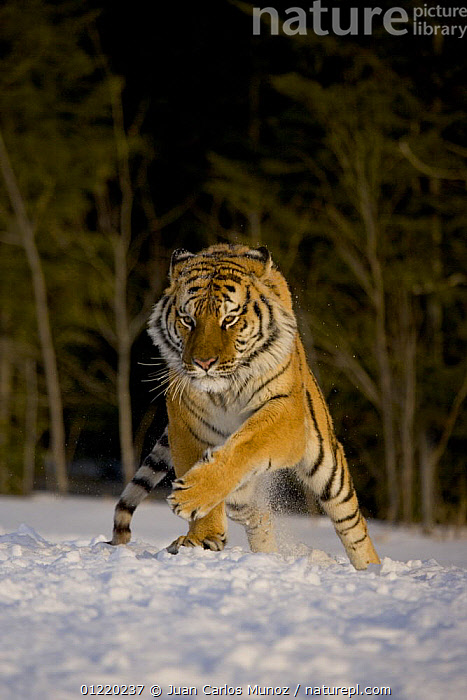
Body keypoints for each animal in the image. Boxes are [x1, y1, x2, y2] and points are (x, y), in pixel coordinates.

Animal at [110, 243, 380, 570]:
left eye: (229, 319)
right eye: (188, 320)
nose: (203, 363)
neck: (225, 391)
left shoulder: (284, 415)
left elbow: (246, 446)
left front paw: (191, 497)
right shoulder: (187, 429)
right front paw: (202, 537)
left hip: (327, 467)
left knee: (352, 524)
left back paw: (372, 568)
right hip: (244, 497)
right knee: (259, 518)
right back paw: (265, 556)